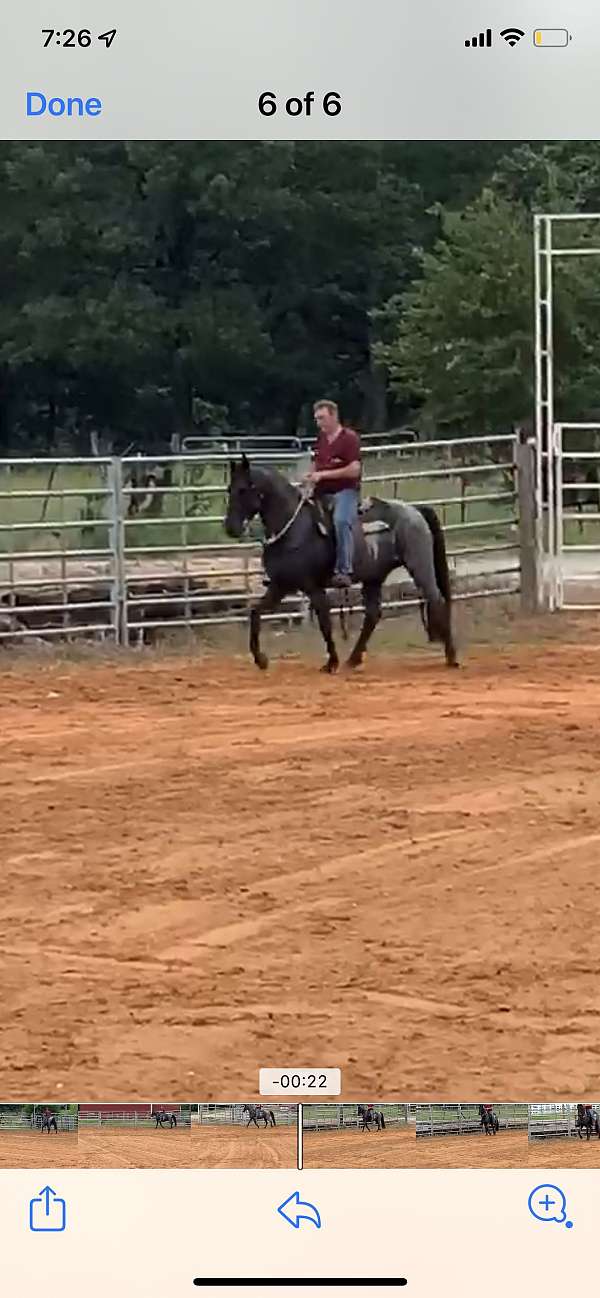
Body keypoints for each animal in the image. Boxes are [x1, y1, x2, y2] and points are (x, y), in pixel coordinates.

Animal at [224, 457, 458, 673]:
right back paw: (353, 659)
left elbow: (325, 623)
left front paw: (331, 662)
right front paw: (260, 659)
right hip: (374, 578)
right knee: (373, 615)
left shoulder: (313, 587)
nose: (230, 528)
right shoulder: (280, 585)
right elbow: (255, 613)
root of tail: (415, 510)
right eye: (229, 489)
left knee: (436, 599)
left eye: (243, 489)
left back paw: (451, 657)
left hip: (419, 565)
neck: (295, 528)